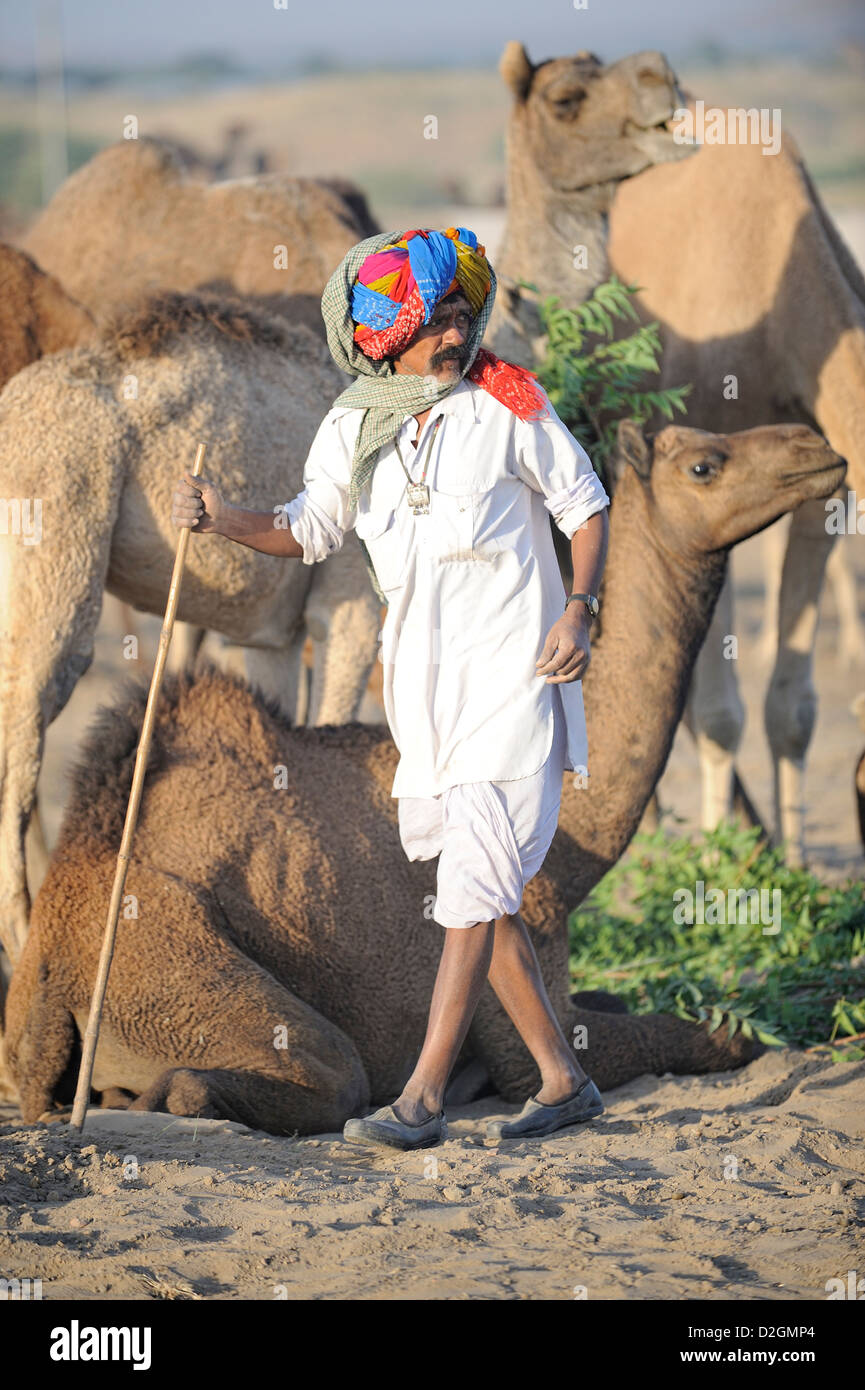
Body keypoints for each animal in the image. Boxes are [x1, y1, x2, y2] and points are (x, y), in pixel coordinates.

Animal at [0, 291, 381, 968]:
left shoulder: (272, 639)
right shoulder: (346, 599)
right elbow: (335, 709)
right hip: (58, 539)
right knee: (22, 728)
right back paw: (22, 943)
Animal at [3, 416, 845, 1133]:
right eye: (705, 464)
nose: (817, 447)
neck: (571, 842)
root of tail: (45, 974)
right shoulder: (526, 988)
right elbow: (705, 1036)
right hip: (169, 967)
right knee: (289, 1076)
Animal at [489, 41, 865, 865]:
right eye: (565, 98)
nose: (657, 74)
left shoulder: (825, 485)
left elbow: (792, 706)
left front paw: (791, 862)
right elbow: (719, 709)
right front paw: (719, 857)